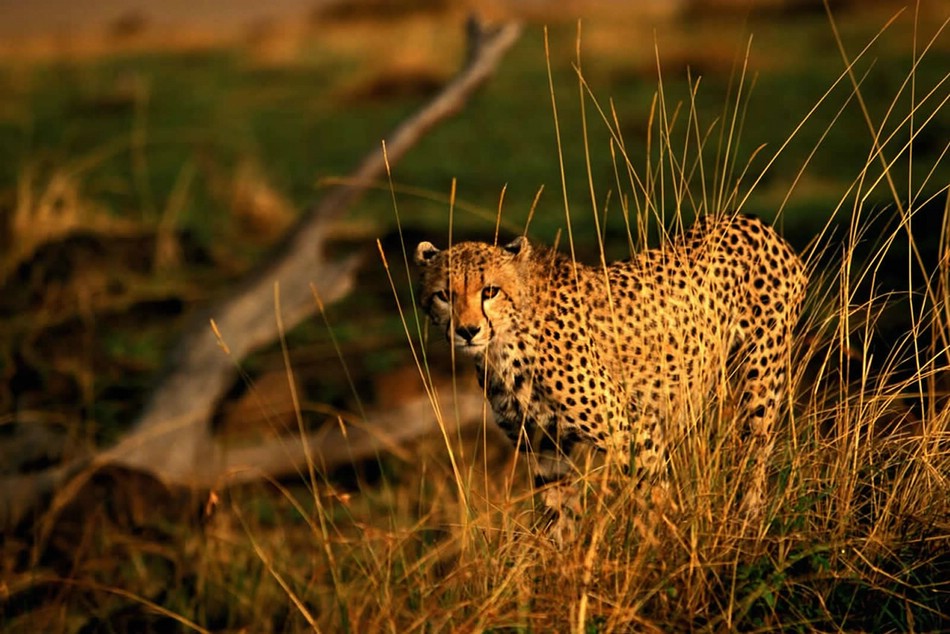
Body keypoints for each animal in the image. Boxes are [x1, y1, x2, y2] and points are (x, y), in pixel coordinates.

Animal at [414, 213, 807, 525]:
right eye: (444, 295)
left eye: (490, 291)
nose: (467, 331)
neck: (505, 344)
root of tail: (750, 221)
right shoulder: (546, 451)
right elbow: (560, 523)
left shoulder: (635, 432)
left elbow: (658, 504)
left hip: (759, 379)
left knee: (755, 453)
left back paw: (748, 520)